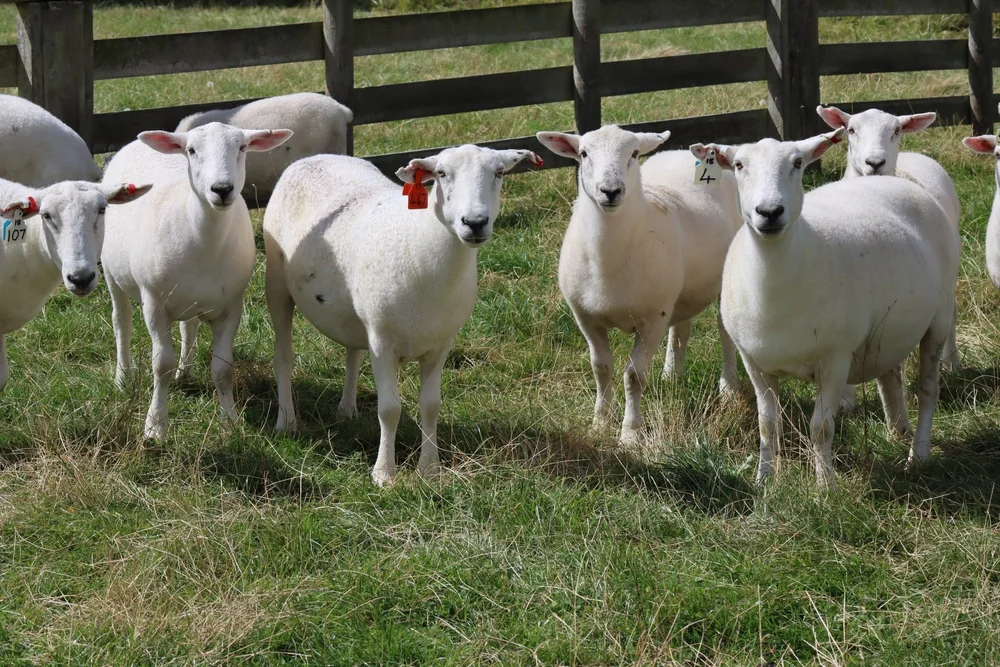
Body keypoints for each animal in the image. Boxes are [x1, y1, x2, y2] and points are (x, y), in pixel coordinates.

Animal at [101, 122, 292, 441]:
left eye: (242, 147)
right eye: (191, 150)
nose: (222, 189)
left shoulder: (232, 307)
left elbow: (222, 369)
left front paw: (230, 422)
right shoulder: (155, 305)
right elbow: (161, 365)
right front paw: (155, 426)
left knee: (188, 326)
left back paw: (186, 371)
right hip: (111, 273)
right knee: (121, 322)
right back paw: (122, 377)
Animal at [263, 144, 541, 486]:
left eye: (500, 172)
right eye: (441, 173)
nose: (475, 222)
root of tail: (314, 157)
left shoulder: (441, 343)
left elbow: (431, 405)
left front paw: (430, 469)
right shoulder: (383, 342)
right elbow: (389, 410)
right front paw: (384, 474)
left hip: (357, 314)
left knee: (352, 352)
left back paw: (347, 410)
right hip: (277, 282)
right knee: (283, 355)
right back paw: (287, 421)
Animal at [535, 125, 742, 445]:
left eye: (633, 153)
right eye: (583, 153)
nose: (610, 191)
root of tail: (682, 152)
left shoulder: (652, 320)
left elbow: (633, 376)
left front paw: (630, 434)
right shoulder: (585, 317)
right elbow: (601, 368)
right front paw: (600, 423)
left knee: (725, 333)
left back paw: (729, 388)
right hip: (679, 291)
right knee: (681, 329)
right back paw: (671, 376)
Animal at [692, 128, 959, 487]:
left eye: (798, 163)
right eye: (738, 165)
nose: (769, 212)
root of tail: (891, 179)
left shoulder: (834, 360)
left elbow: (820, 427)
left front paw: (826, 486)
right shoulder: (755, 363)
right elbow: (767, 424)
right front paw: (764, 480)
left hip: (939, 318)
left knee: (928, 389)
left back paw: (917, 455)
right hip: (887, 329)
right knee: (890, 375)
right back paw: (897, 431)